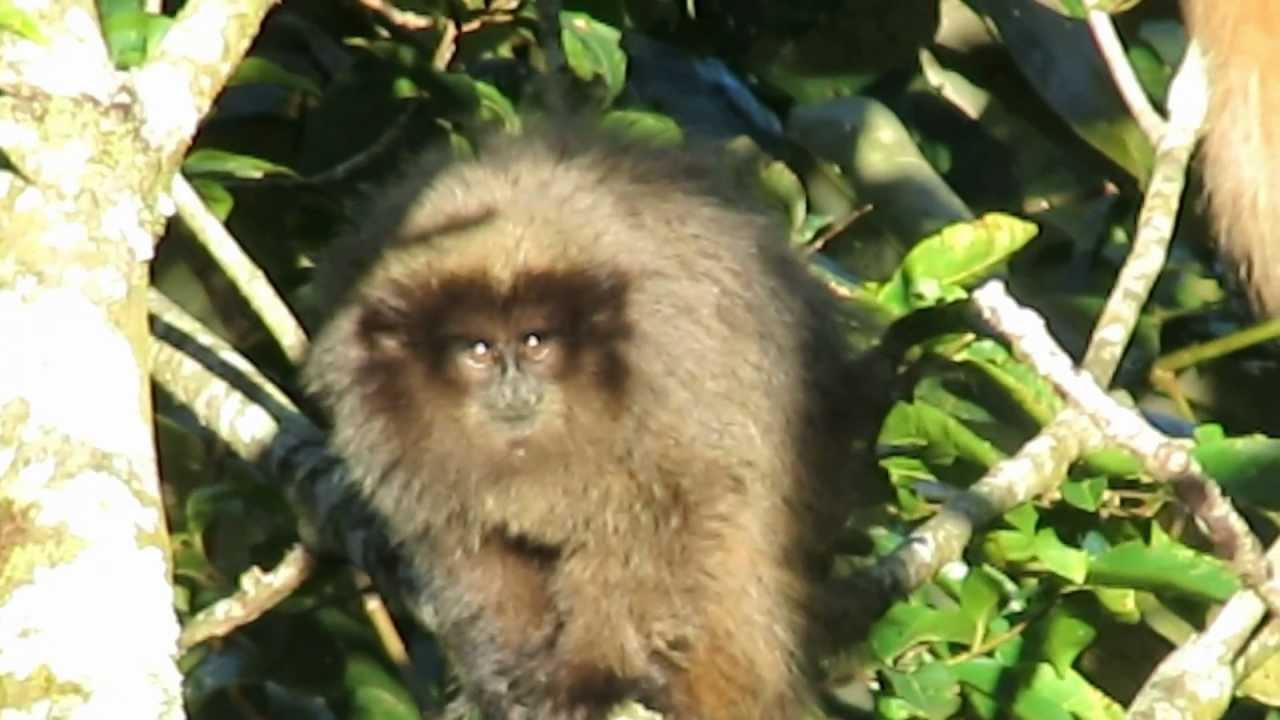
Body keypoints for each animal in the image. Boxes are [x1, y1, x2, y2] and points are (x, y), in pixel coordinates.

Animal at [303, 126, 878, 719]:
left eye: (535, 341)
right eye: (479, 349)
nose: (513, 388)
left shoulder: (667, 352)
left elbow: (678, 503)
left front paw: (591, 673)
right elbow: (463, 538)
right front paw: (504, 668)